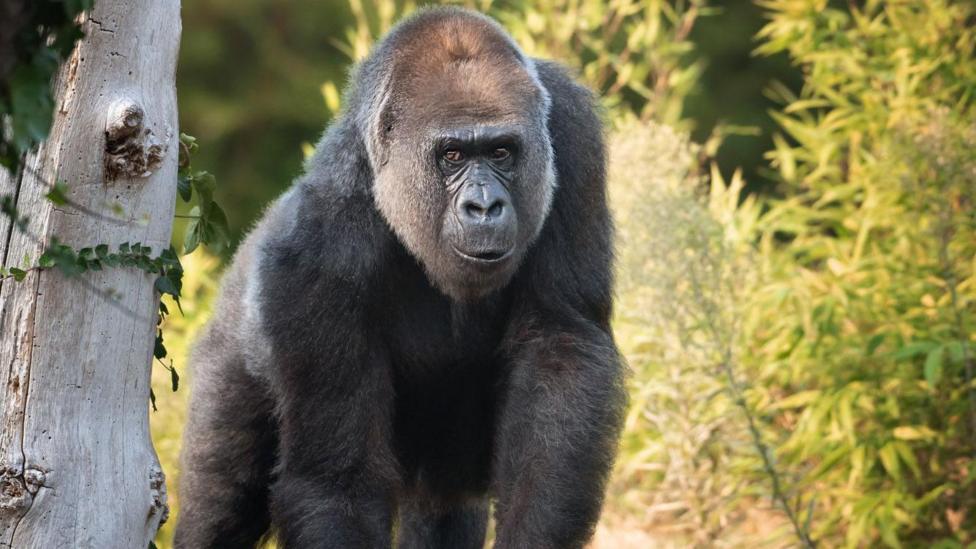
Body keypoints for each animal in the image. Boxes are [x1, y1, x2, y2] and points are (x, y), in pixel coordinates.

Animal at [174, 7, 626, 549]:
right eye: (452, 156)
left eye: (501, 152)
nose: (485, 207)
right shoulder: (314, 252)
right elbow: (335, 483)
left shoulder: (573, 131)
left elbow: (560, 350)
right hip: (231, 349)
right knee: (221, 499)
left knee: (445, 501)